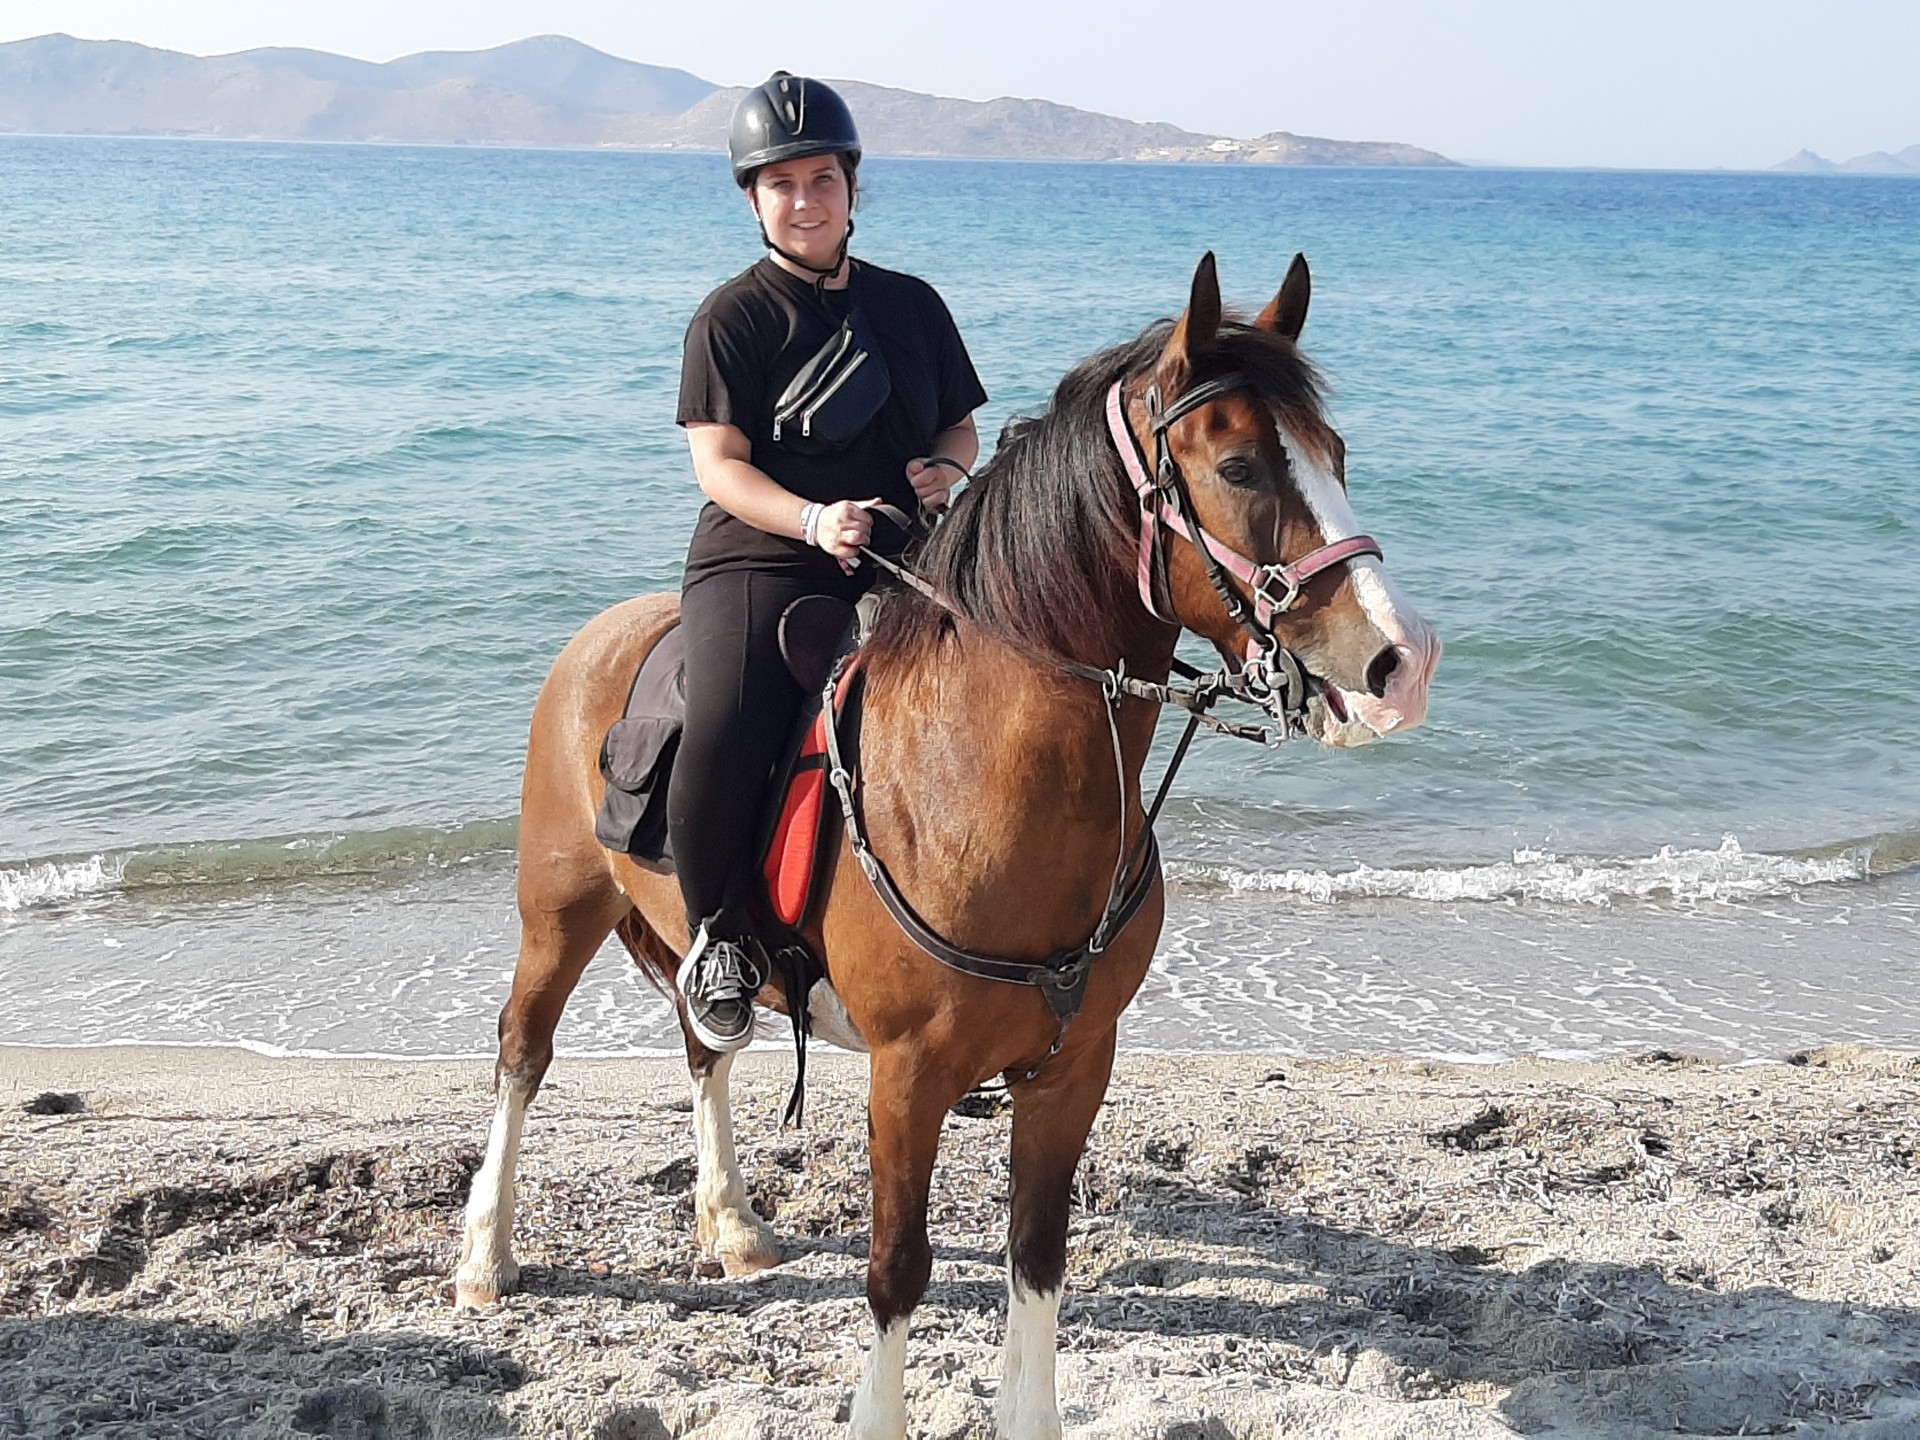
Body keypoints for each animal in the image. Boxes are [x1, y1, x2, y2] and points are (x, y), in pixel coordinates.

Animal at [453, 251, 1439, 1440]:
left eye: (1334, 455)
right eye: (1242, 465)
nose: (1403, 661)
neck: (981, 783)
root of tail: (601, 637)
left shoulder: (1074, 1065)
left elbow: (1037, 1259)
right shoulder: (907, 1074)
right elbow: (896, 1270)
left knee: (704, 1049)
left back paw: (732, 1225)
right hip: (557, 913)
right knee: (521, 1056)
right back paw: (486, 1255)